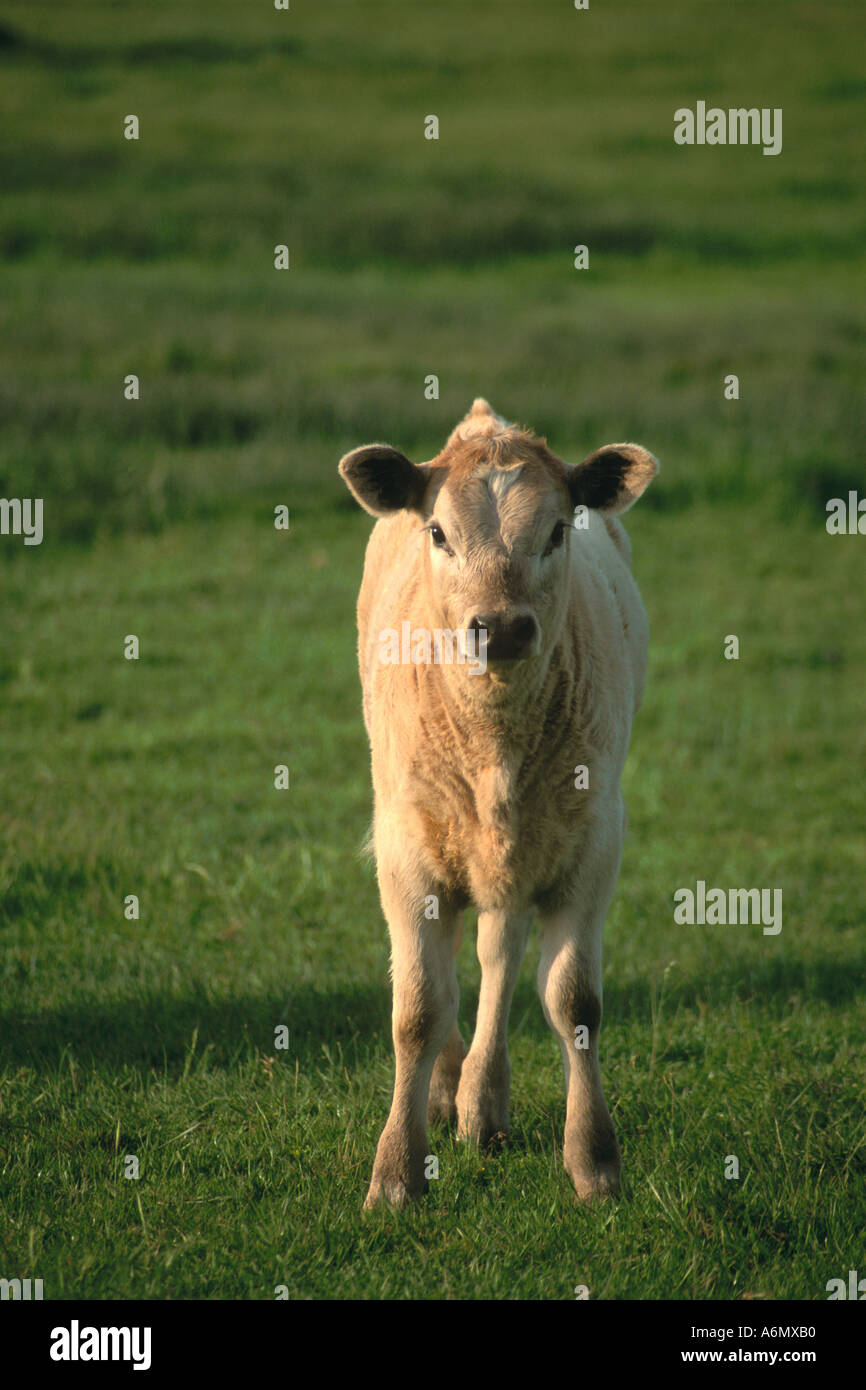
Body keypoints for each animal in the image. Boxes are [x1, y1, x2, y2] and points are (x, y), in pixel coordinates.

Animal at [339, 399, 658, 1208]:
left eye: (557, 531)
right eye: (438, 533)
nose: (504, 626)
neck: (494, 748)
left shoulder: (593, 845)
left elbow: (574, 1003)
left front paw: (594, 1160)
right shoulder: (406, 851)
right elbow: (418, 1011)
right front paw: (396, 1171)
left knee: (499, 955)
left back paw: (482, 1100)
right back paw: (449, 1090)